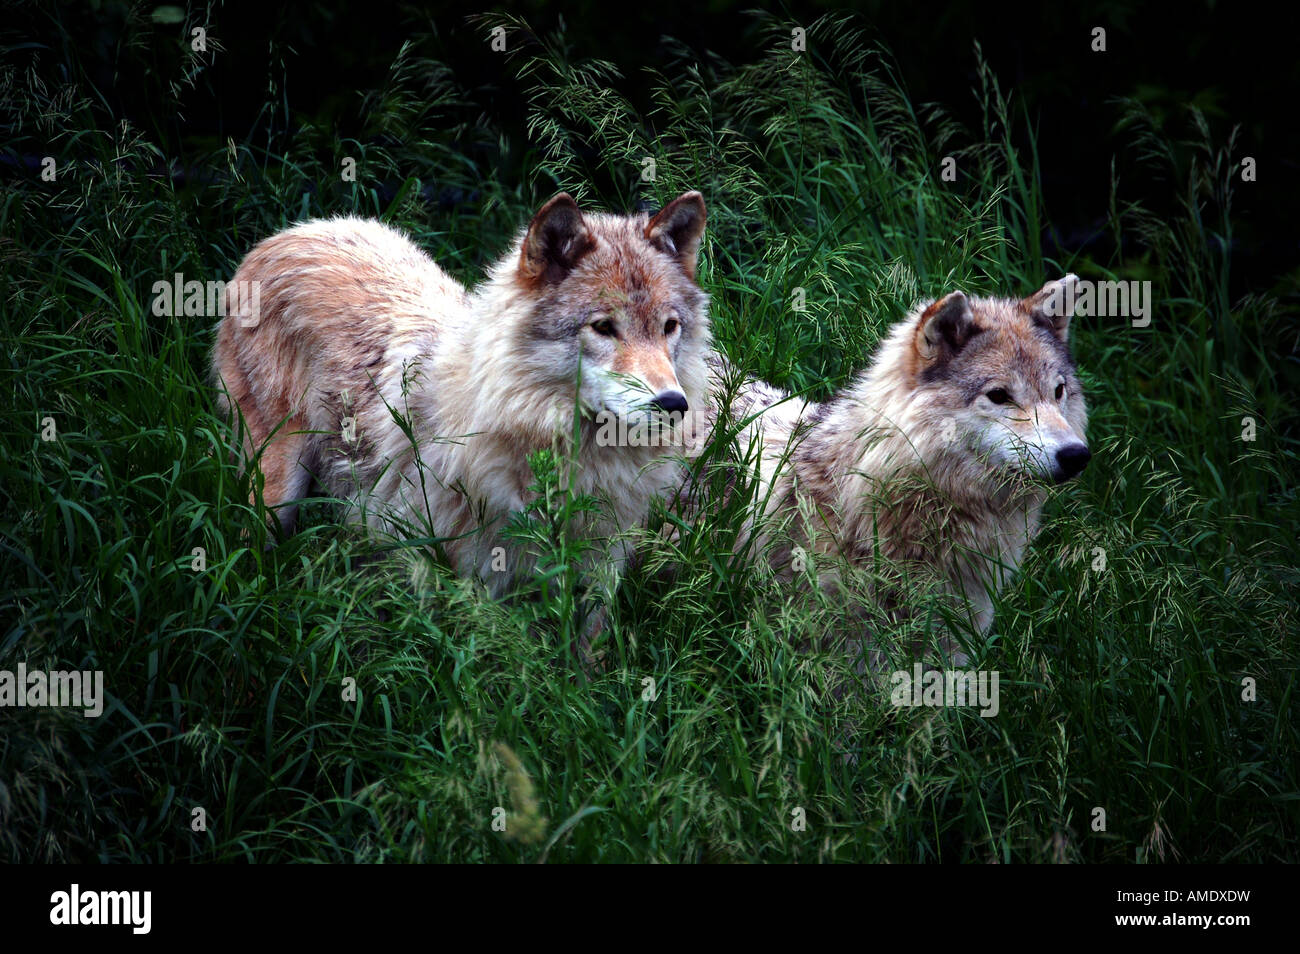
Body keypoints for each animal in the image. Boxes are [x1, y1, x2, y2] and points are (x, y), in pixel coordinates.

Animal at [211, 191, 711, 597]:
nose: (672, 404)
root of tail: (291, 232)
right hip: (276, 492)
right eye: (604, 327)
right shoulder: (476, 576)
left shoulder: (601, 570)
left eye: (669, 327)